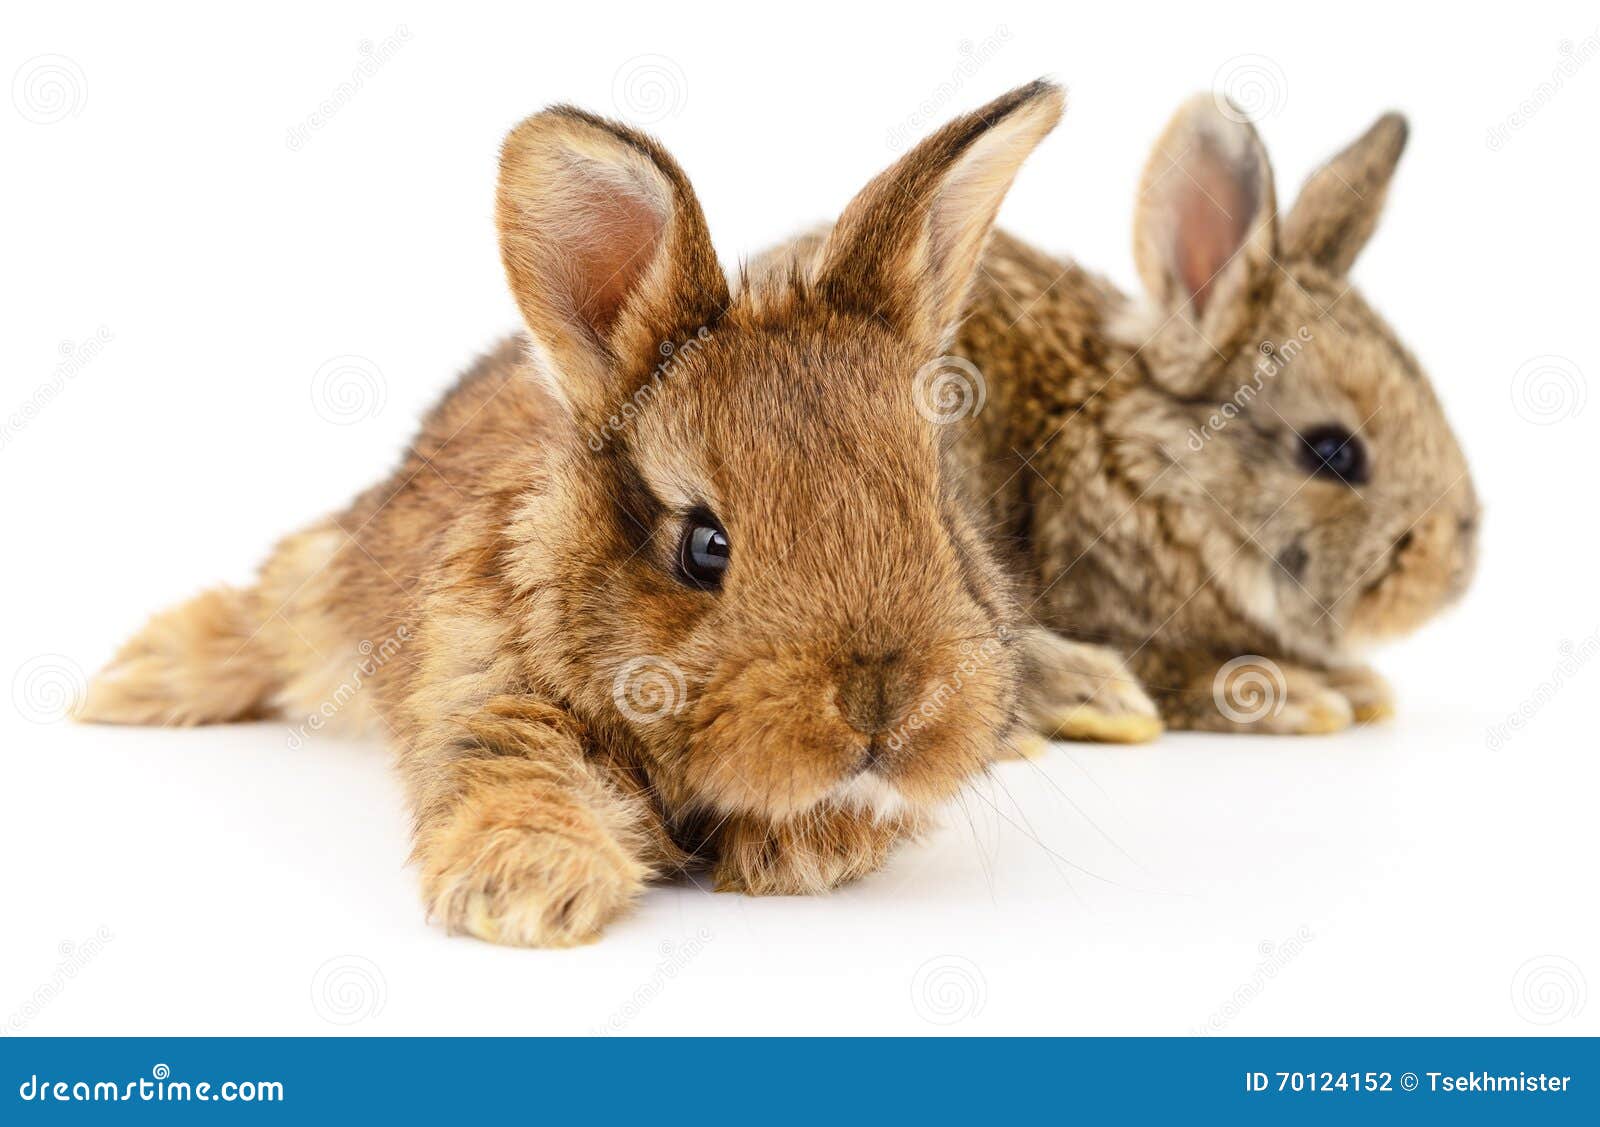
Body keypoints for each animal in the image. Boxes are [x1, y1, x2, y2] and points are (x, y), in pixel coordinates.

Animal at [76, 80, 1065, 946]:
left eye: (941, 518)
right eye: (704, 546)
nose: (882, 706)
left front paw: (800, 849)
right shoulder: (485, 688)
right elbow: (517, 773)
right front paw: (528, 891)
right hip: (326, 587)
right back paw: (130, 682)